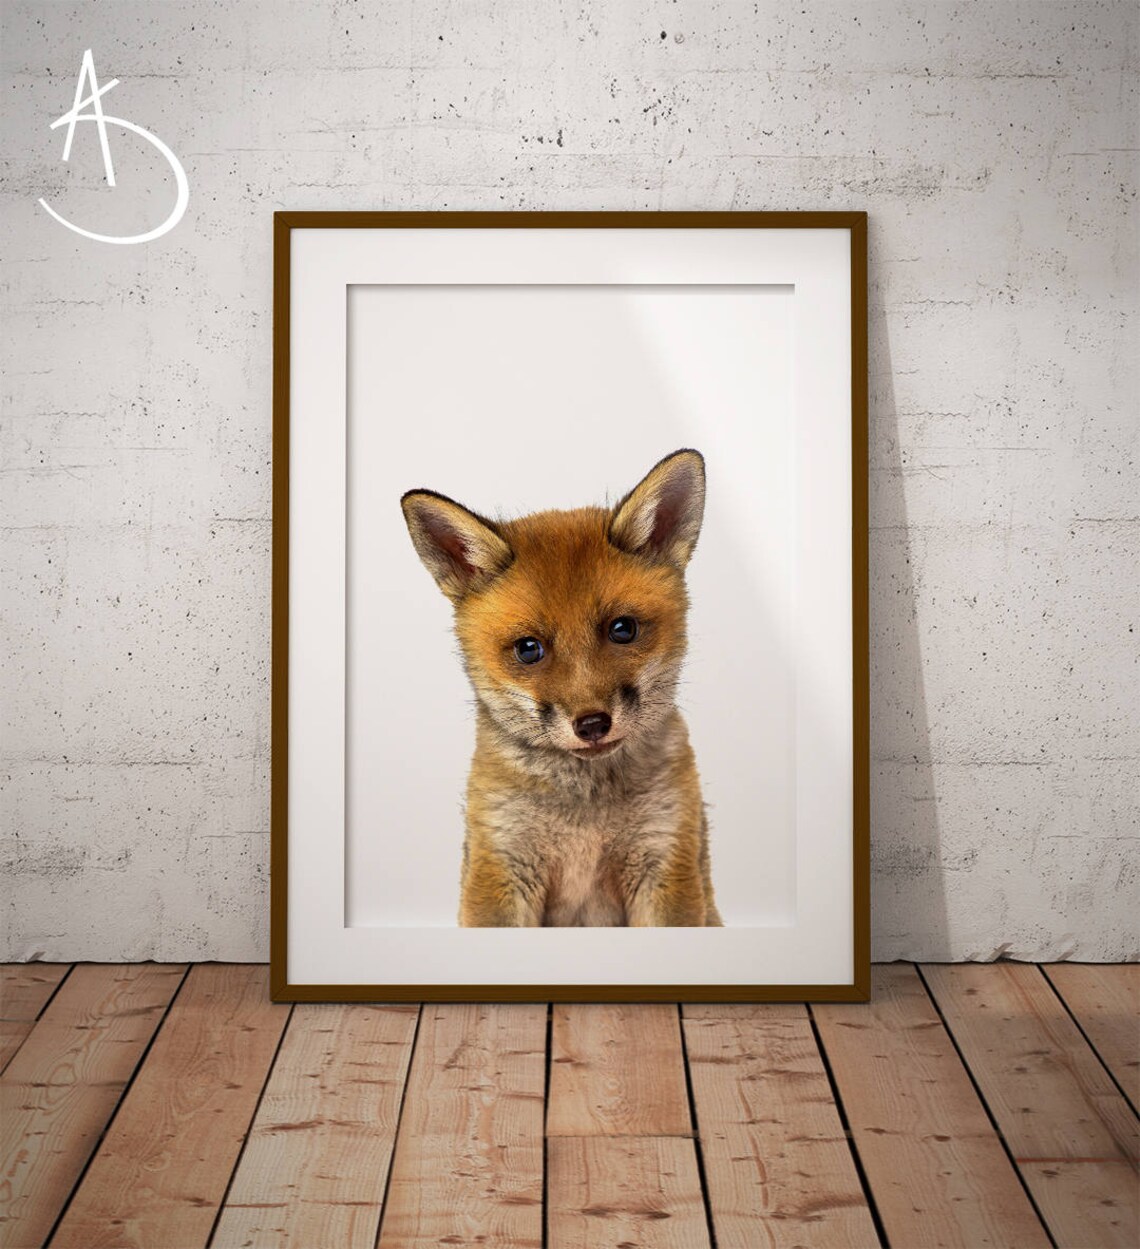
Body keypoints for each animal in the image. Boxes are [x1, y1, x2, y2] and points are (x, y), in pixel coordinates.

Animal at [400, 448, 721, 927]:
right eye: (528, 649)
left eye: (622, 630)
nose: (592, 725)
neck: (585, 819)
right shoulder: (500, 867)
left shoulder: (665, 859)